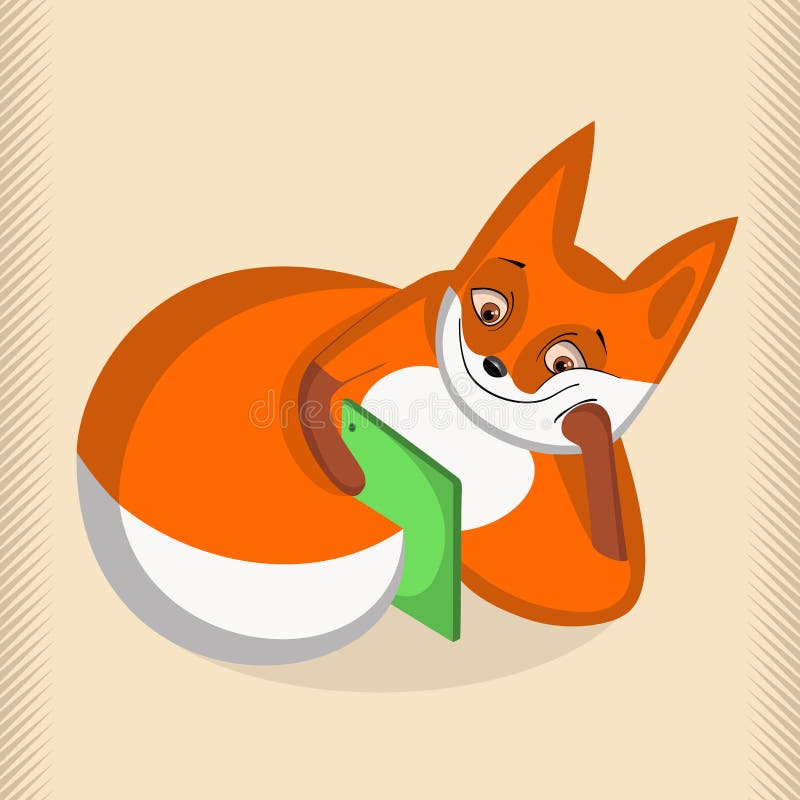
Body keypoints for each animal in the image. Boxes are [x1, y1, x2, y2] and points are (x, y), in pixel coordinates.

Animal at [77, 123, 736, 664]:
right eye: (491, 310)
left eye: (562, 363)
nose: (494, 365)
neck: (466, 419)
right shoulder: (404, 316)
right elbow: (320, 381)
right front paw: (347, 468)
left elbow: (596, 574)